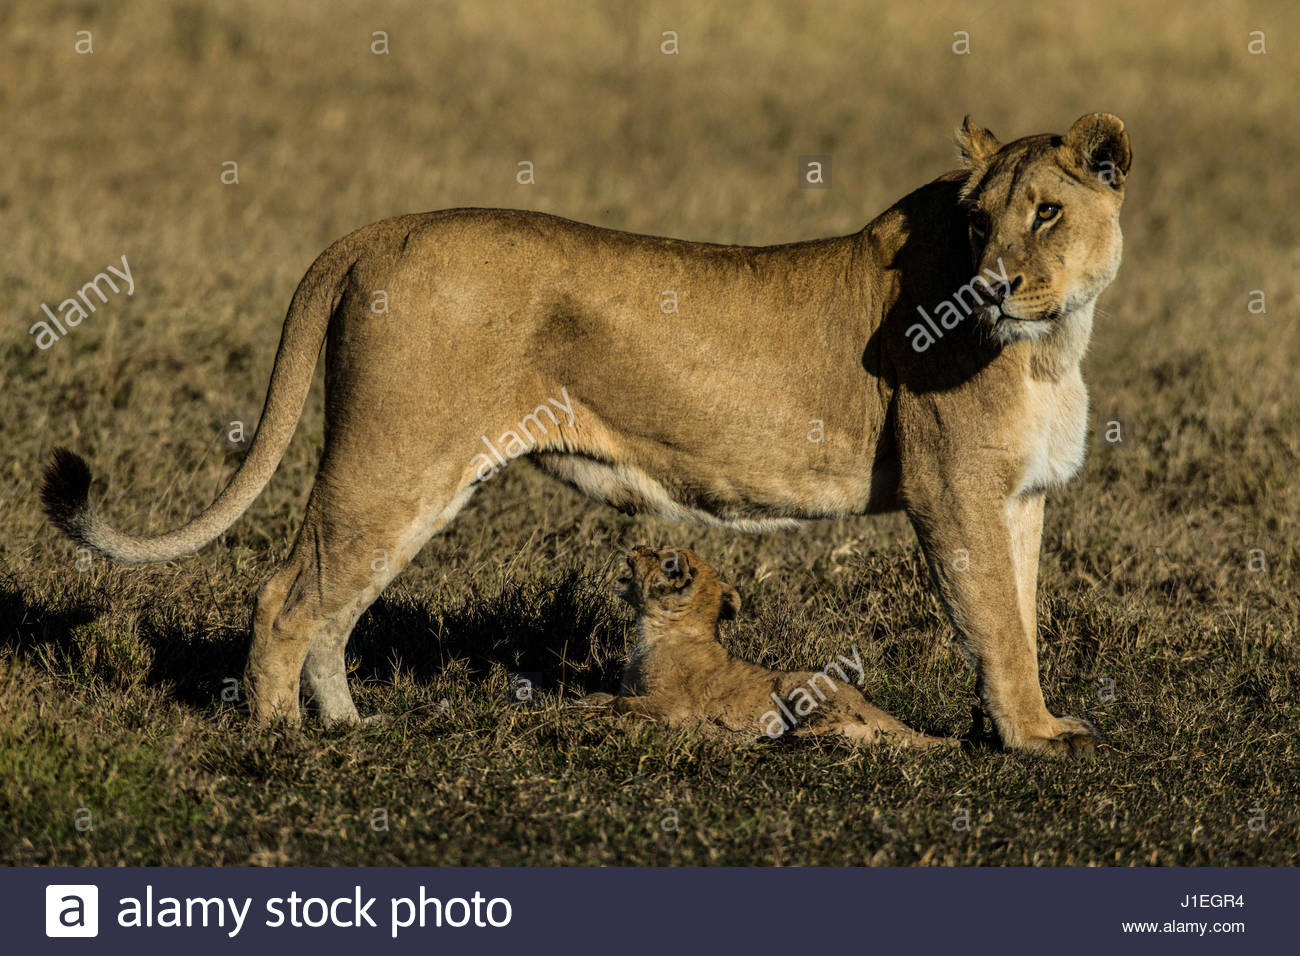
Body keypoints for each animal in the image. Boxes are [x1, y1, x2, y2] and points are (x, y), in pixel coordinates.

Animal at [590, 545, 952, 748]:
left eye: (654, 554)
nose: (636, 545)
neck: (656, 630)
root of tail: (872, 705)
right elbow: (608, 696)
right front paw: (591, 699)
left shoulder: (672, 707)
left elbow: (621, 705)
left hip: (798, 686)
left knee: (858, 729)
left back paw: (780, 736)